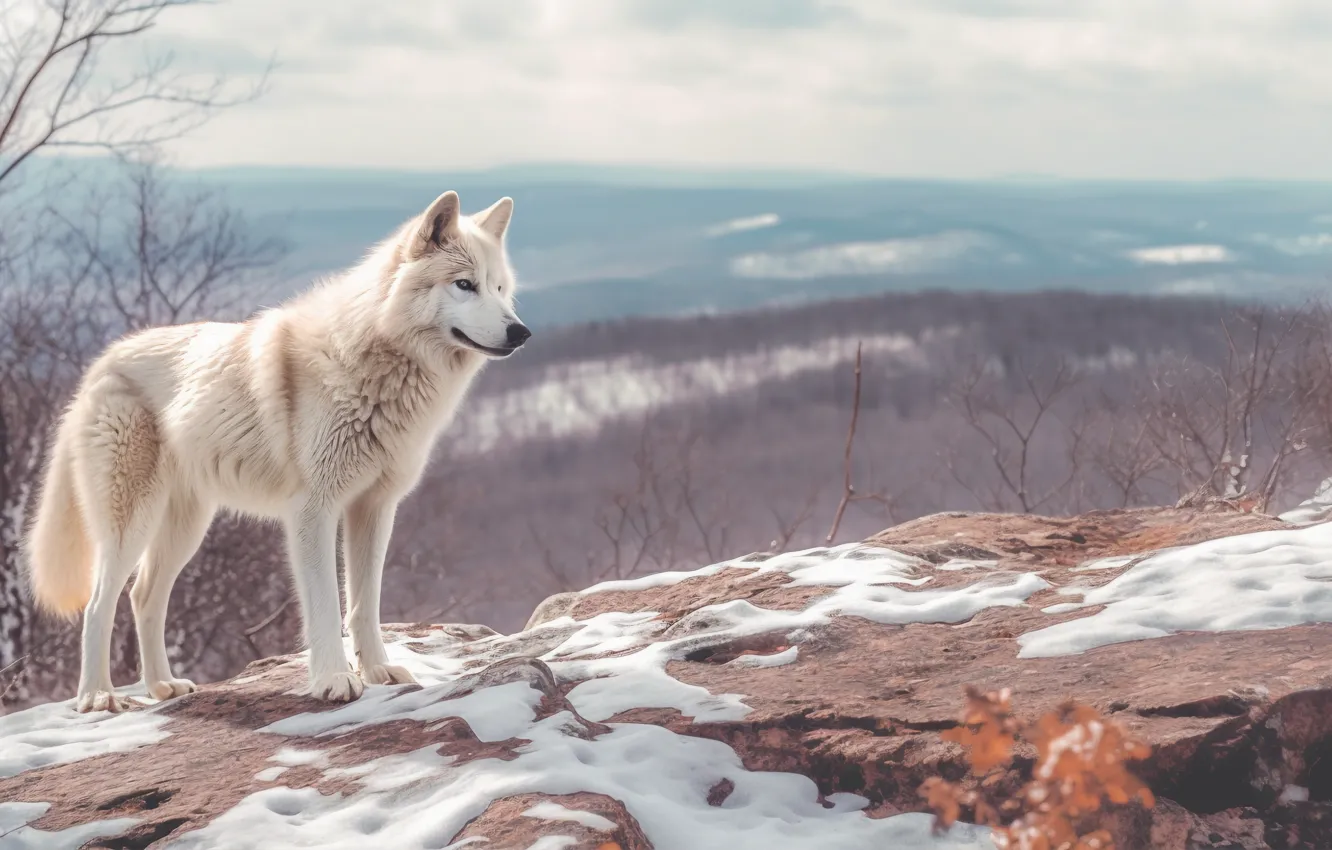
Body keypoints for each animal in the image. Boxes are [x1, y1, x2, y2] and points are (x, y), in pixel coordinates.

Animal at [23, 190, 529, 712]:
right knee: (98, 604)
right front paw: (334, 680)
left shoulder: (375, 508)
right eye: (464, 285)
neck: (375, 362)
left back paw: (164, 687)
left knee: (143, 596)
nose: (521, 332)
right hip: (131, 525)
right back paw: (97, 696)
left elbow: (364, 604)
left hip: (186, 529)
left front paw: (377, 671)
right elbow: (325, 604)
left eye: (500, 288)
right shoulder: (312, 510)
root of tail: (99, 364)